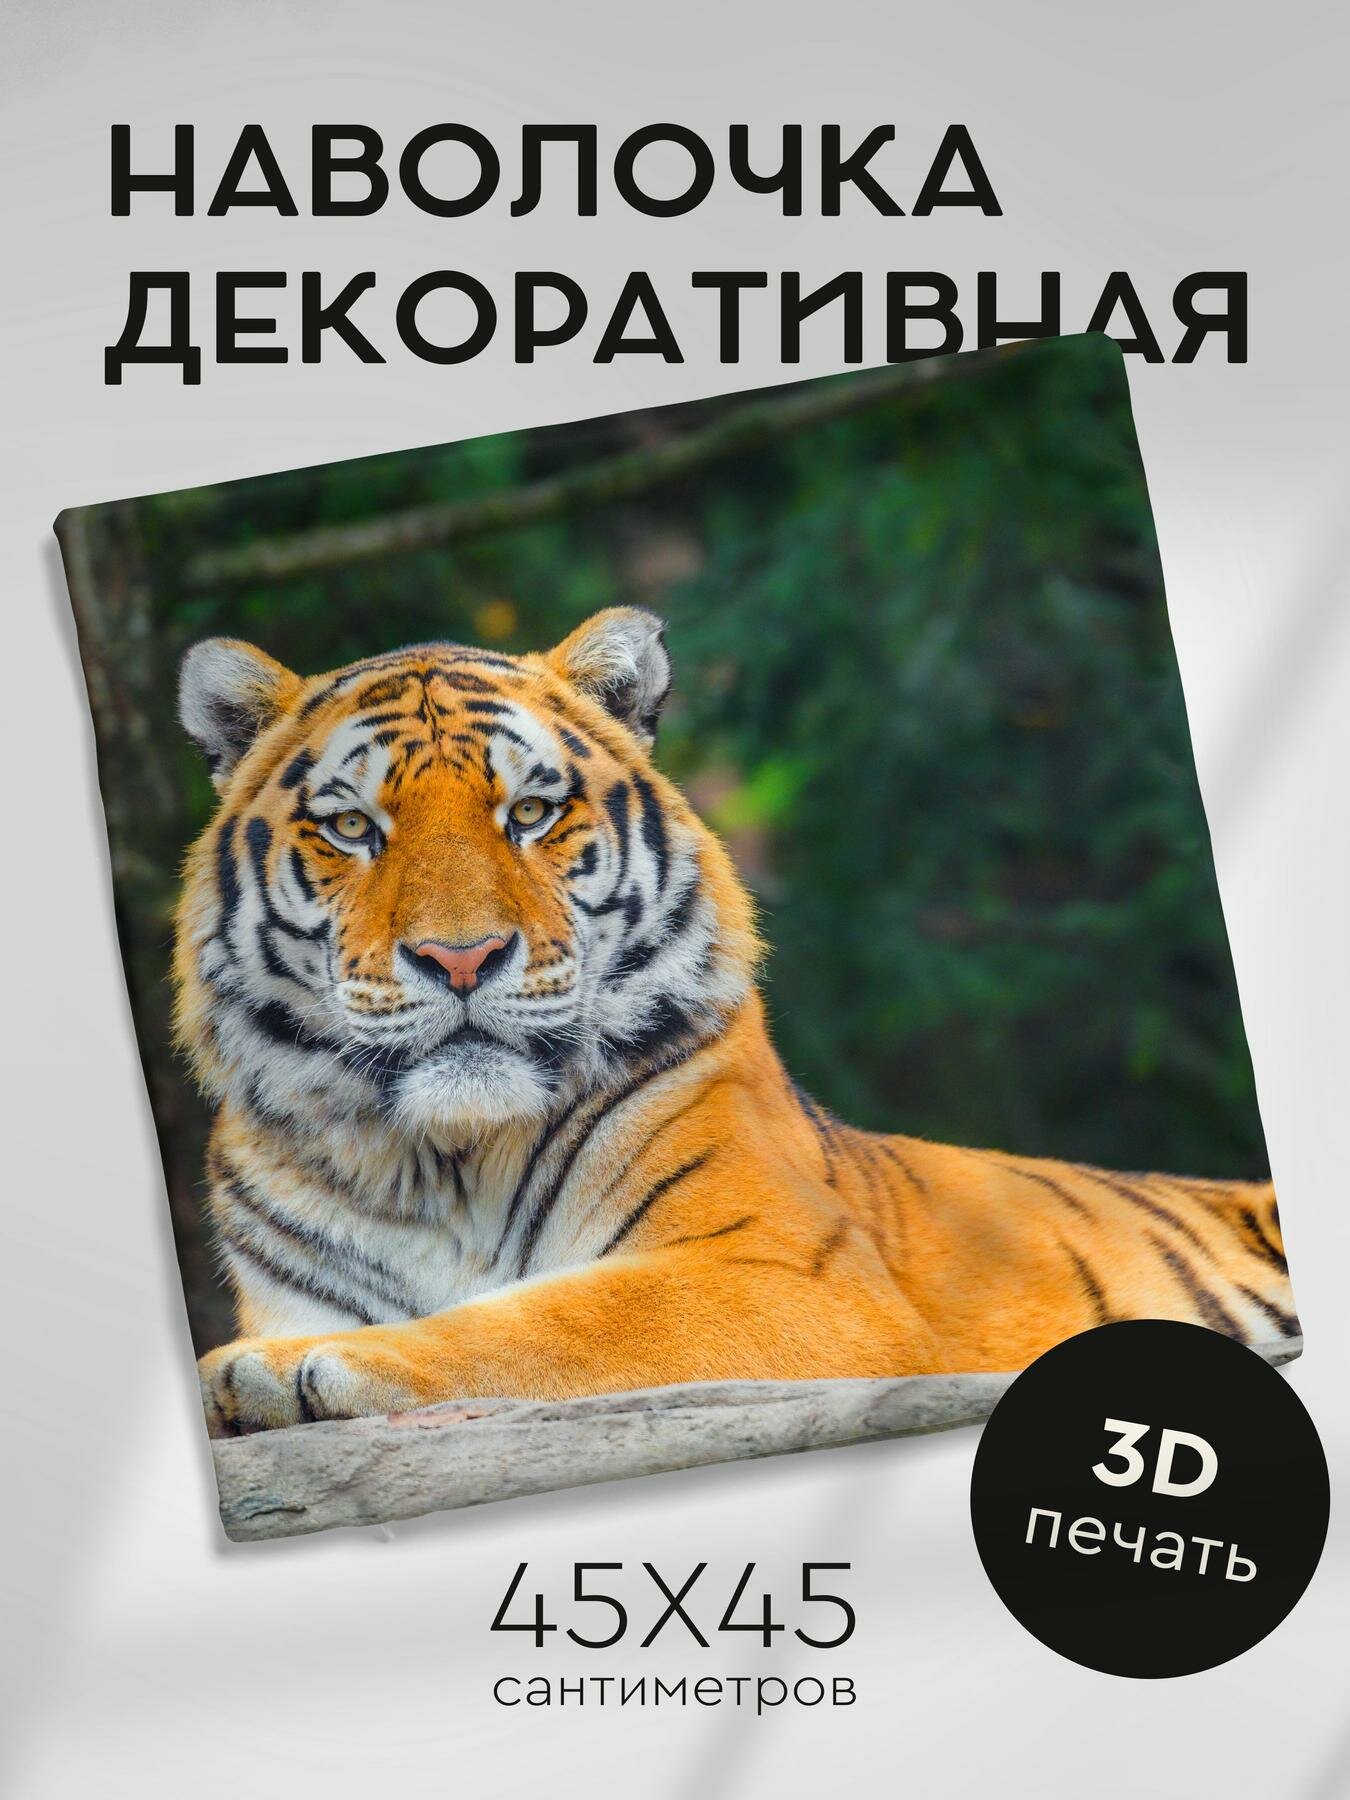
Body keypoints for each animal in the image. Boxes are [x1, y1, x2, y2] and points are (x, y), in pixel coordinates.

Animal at [174, 607, 1299, 1437]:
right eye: (351, 828)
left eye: (529, 813)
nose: (462, 957)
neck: (448, 1160)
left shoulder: (790, 1279)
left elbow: (542, 1321)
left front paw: (281, 1369)